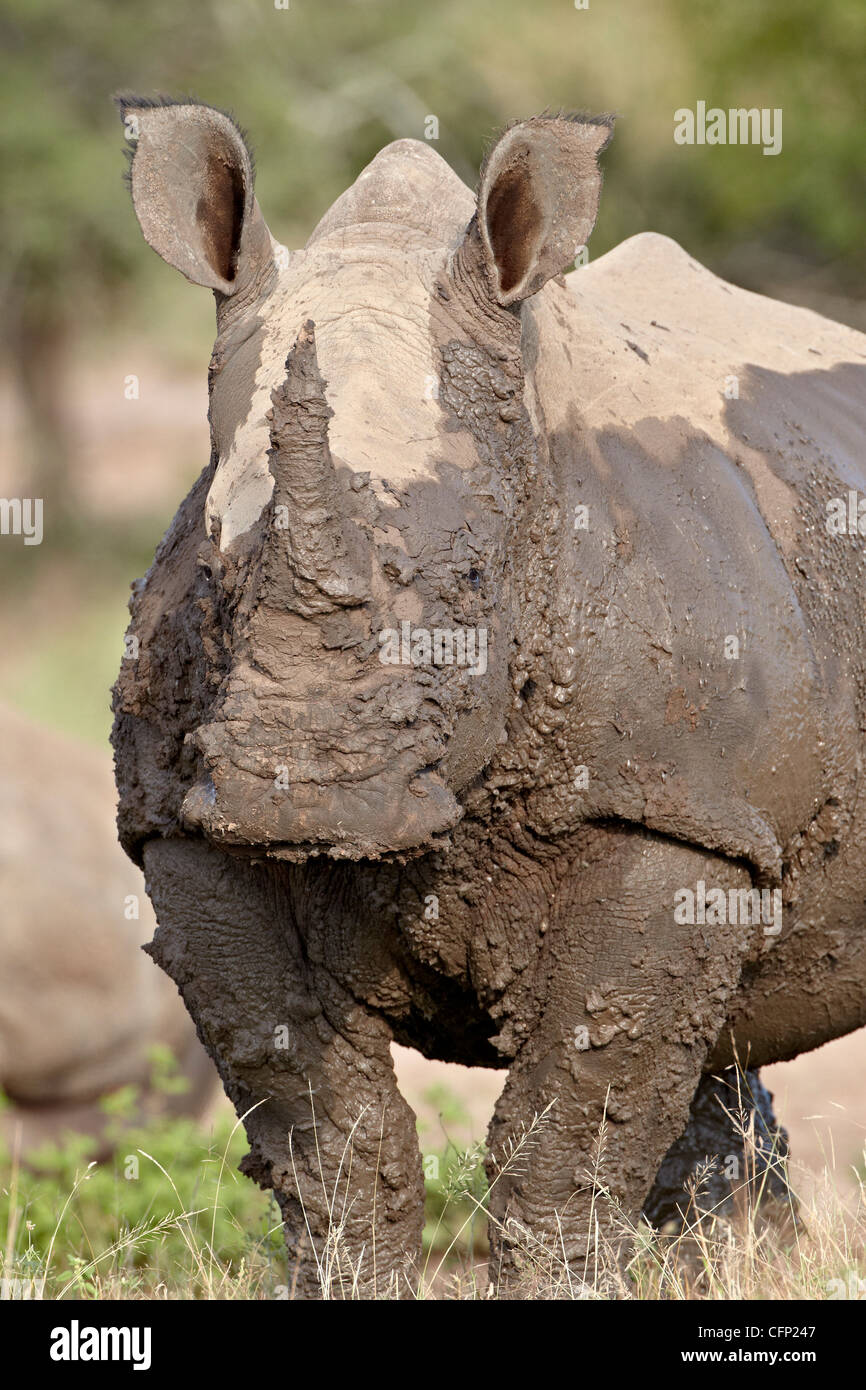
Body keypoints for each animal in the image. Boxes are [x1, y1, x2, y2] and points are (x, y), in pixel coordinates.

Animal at [113, 97, 866, 1295]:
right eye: (216, 580)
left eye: (472, 584)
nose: (298, 795)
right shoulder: (178, 827)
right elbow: (327, 1132)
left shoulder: (672, 814)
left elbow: (571, 1128)